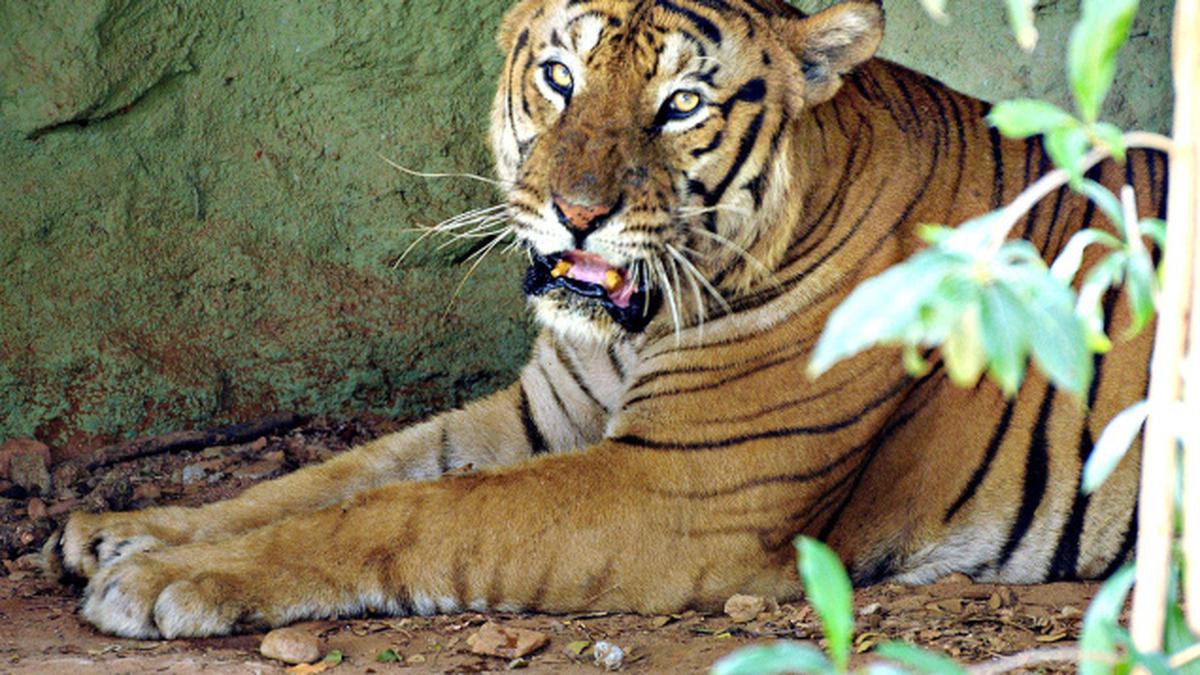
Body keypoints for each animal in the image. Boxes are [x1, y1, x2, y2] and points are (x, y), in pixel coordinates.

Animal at [47, 0, 1166, 639]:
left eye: (680, 106)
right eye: (560, 78)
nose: (574, 210)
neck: (630, 331)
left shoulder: (682, 487)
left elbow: (408, 511)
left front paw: (165, 580)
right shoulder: (540, 415)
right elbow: (333, 477)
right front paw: (125, 532)